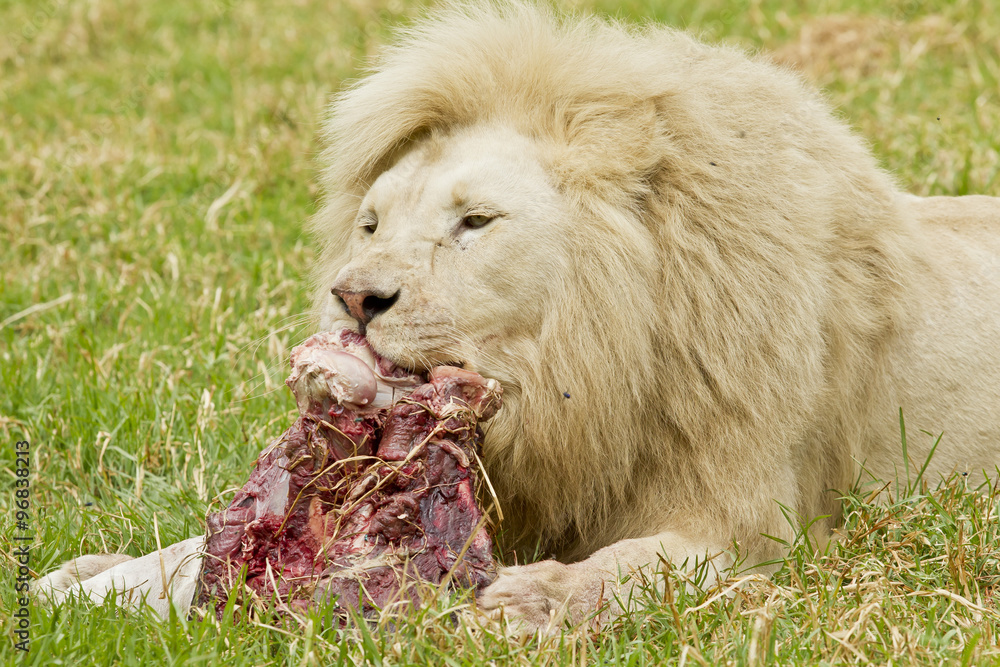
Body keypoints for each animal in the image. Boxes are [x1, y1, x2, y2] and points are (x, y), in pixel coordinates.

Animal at [35, 1, 1000, 634]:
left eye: (475, 221)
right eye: (371, 223)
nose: (356, 298)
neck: (588, 375)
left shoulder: (757, 522)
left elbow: (639, 565)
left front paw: (532, 600)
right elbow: (186, 555)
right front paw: (83, 584)